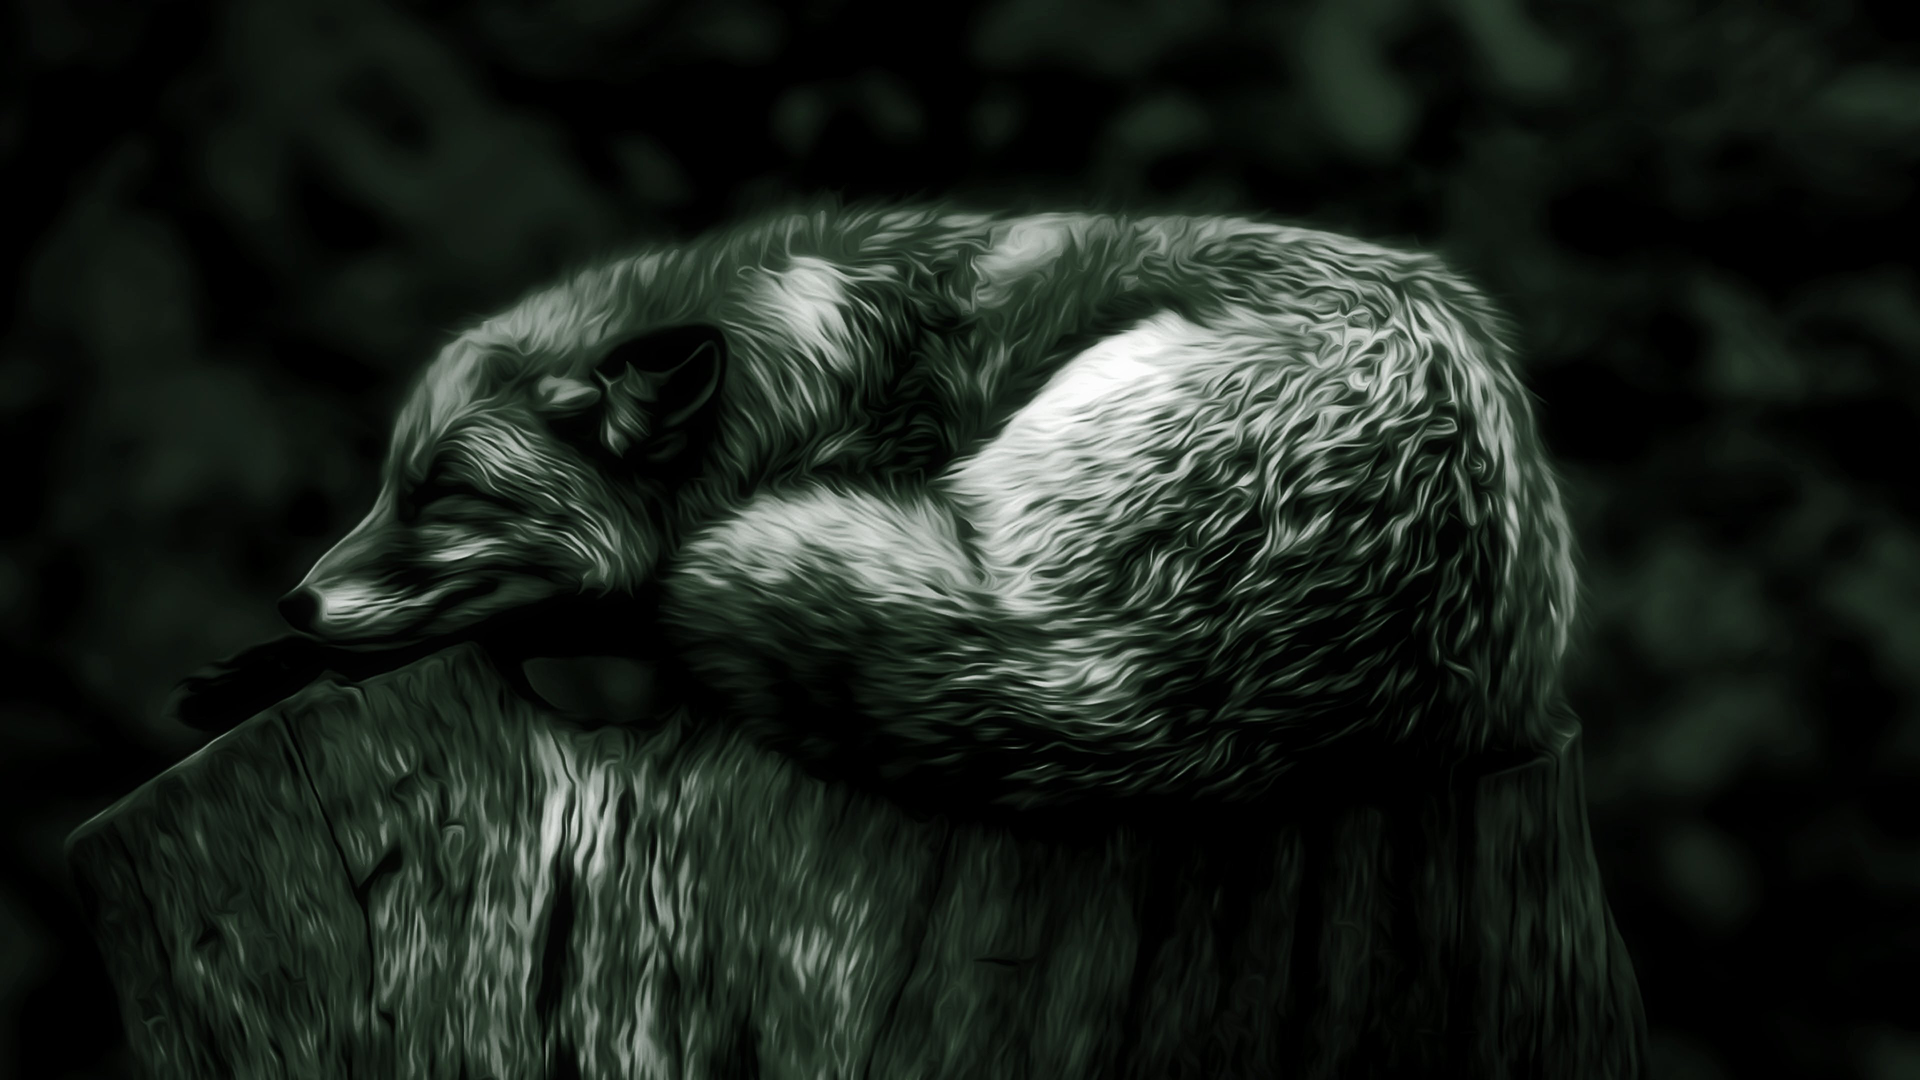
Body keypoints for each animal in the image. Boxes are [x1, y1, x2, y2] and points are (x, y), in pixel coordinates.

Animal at [172, 202, 1578, 812]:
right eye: (387, 482)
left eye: (444, 492)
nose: (294, 595)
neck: (817, 376)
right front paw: (257, 668)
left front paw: (273, 665)